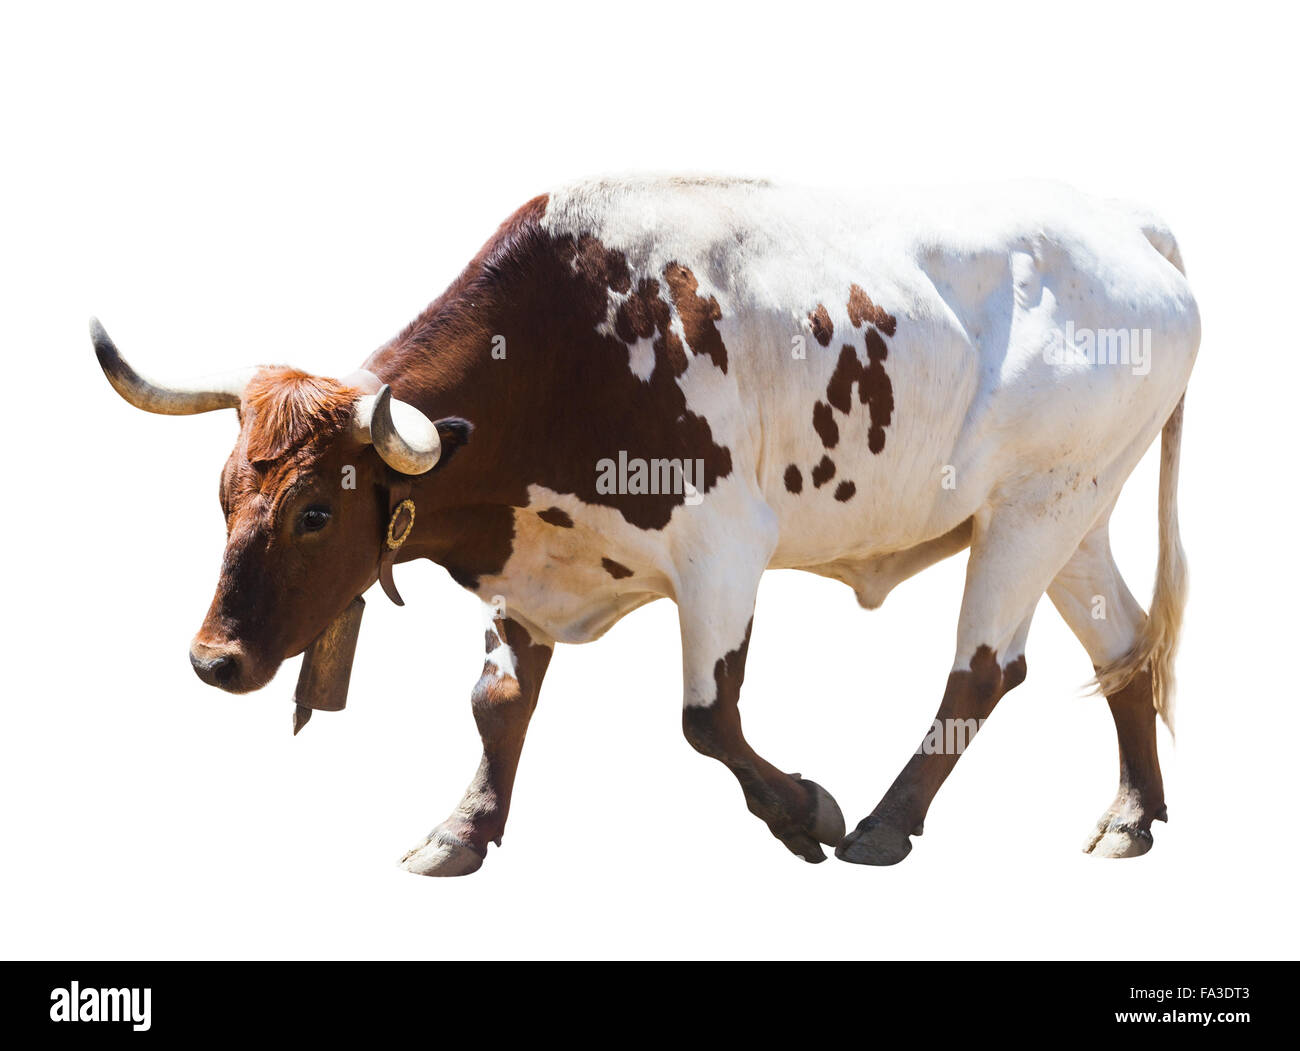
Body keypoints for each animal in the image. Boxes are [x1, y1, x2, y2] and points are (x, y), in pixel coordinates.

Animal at [92, 176, 1199, 875]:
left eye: (316, 511)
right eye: (224, 495)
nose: (213, 660)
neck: (564, 345)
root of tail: (1129, 226)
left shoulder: (723, 548)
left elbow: (708, 718)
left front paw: (805, 809)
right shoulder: (529, 567)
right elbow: (497, 703)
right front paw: (461, 831)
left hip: (1034, 506)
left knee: (982, 670)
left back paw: (884, 825)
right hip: (1074, 514)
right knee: (1123, 645)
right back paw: (1130, 817)